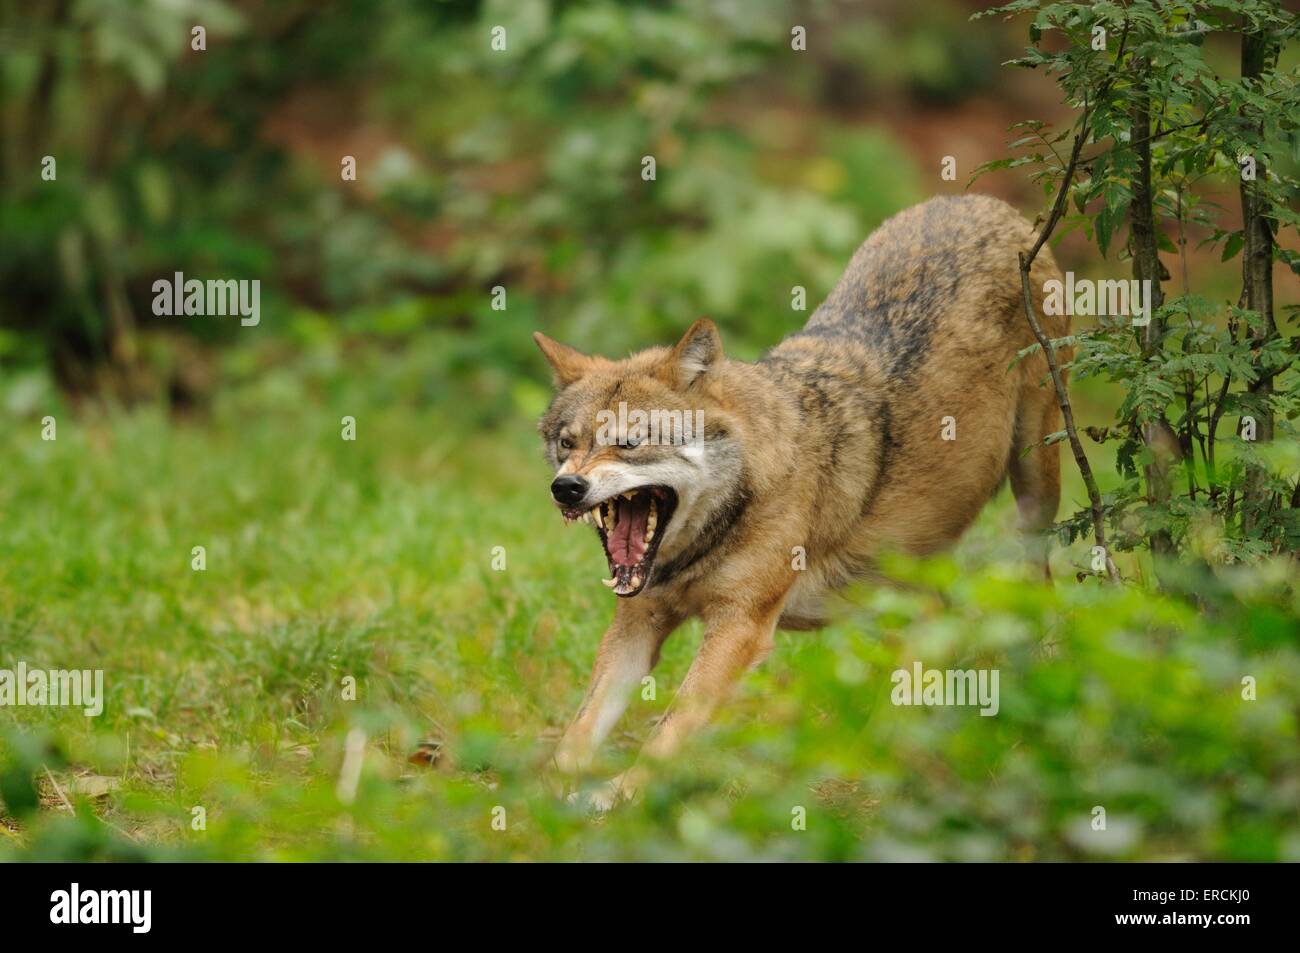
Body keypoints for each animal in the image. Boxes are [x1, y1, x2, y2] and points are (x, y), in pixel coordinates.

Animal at [534, 194, 1069, 808]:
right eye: (567, 443)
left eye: (629, 442)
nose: (566, 488)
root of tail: (979, 201)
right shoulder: (635, 625)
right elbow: (581, 729)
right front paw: (538, 794)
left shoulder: (739, 629)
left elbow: (669, 730)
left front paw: (622, 794)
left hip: (1035, 490)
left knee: (1036, 583)